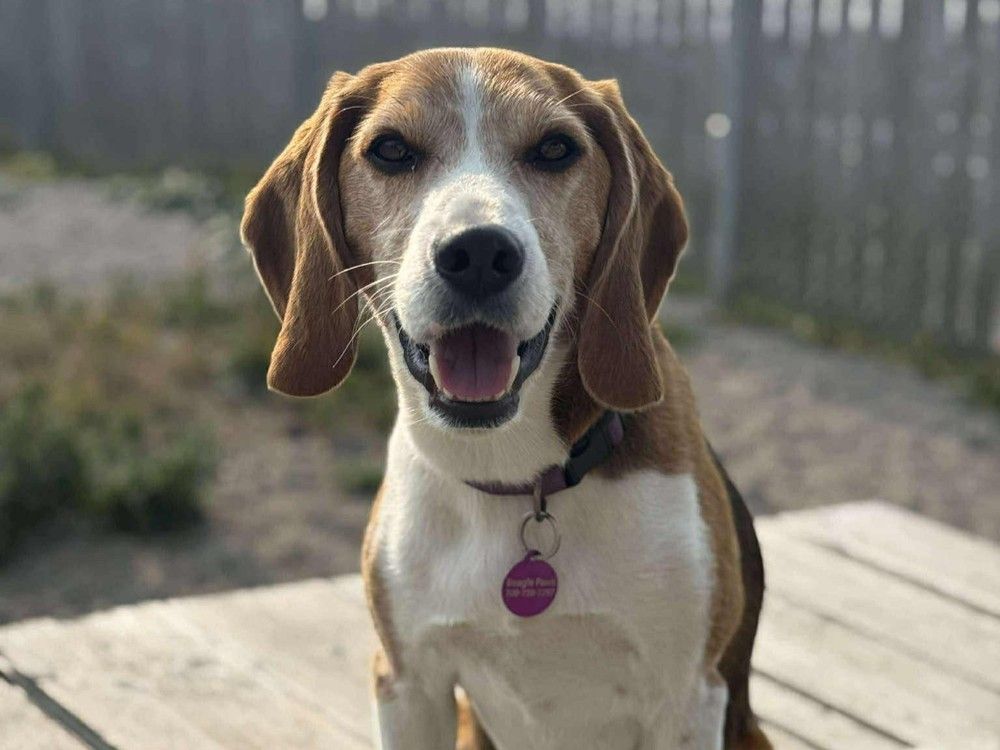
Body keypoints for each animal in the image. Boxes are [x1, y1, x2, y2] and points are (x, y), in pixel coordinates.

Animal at [242, 48, 770, 750]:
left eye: (554, 149)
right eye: (390, 150)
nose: (478, 252)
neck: (514, 479)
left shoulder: (689, 699)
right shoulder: (407, 685)